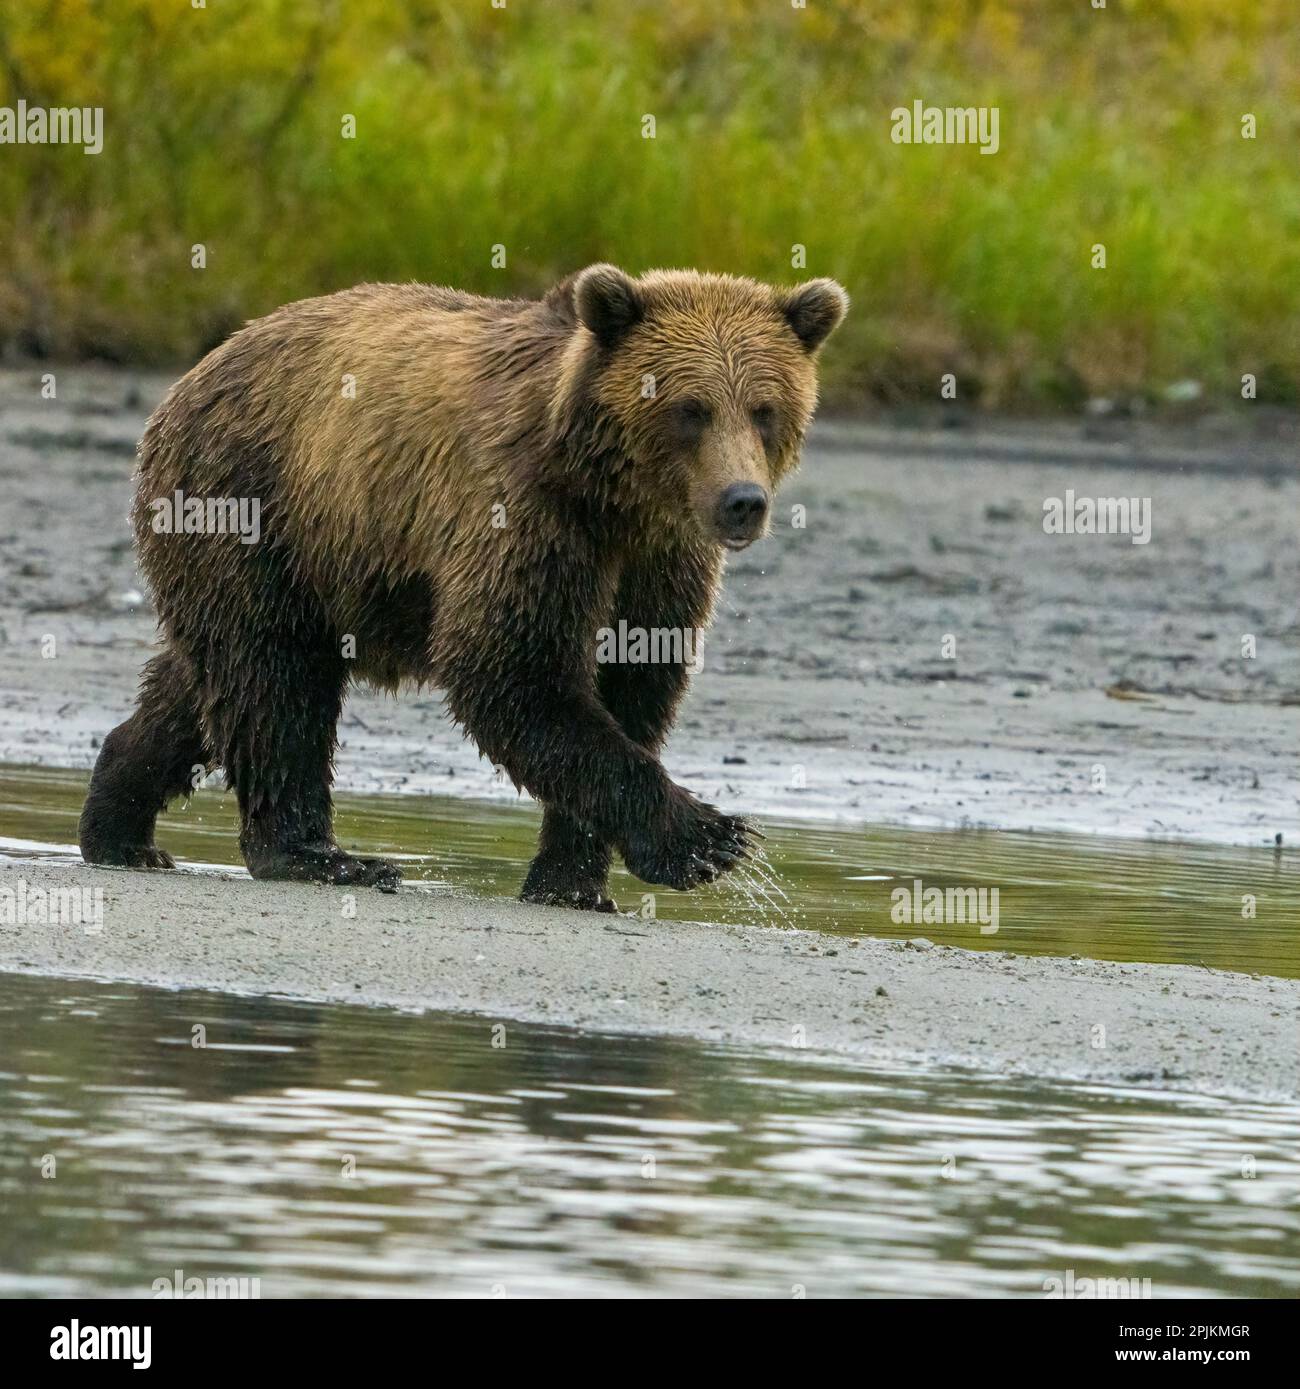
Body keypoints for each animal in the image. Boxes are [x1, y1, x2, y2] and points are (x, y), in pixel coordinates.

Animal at [78, 264, 848, 909]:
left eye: (764, 408)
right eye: (692, 408)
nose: (742, 501)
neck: (614, 499)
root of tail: (194, 374)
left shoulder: (659, 563)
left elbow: (635, 680)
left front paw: (572, 881)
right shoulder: (522, 514)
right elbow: (512, 669)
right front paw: (708, 839)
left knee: (209, 681)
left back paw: (120, 825)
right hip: (254, 502)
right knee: (275, 680)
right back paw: (320, 856)